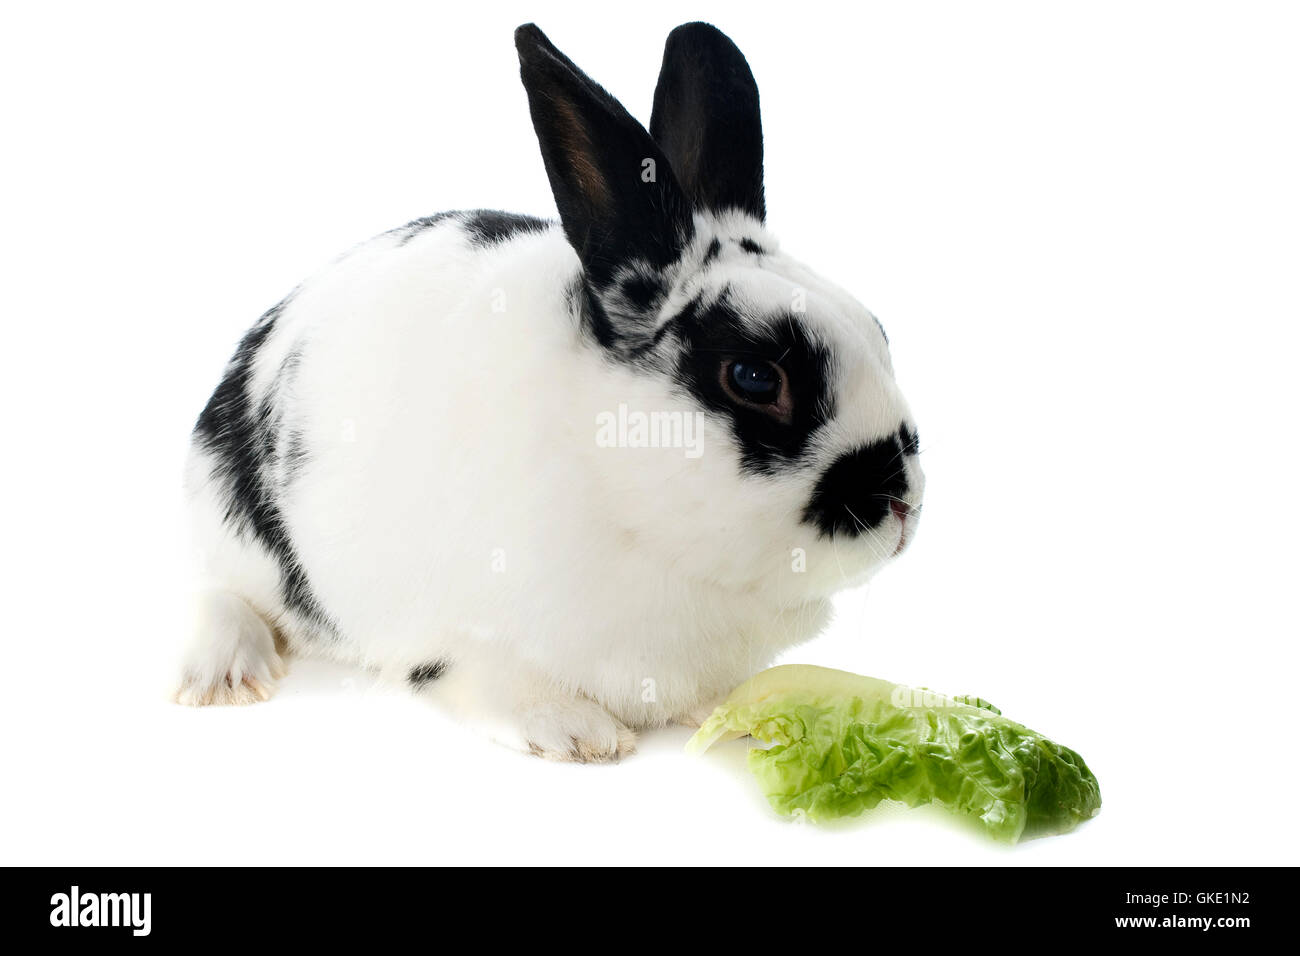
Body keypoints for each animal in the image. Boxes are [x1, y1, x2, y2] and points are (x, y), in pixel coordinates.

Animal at [175, 21, 925, 761]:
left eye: (881, 333)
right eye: (755, 378)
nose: (902, 506)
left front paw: (734, 715)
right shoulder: (455, 630)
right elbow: (490, 679)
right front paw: (577, 733)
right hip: (230, 528)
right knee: (220, 591)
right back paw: (224, 678)